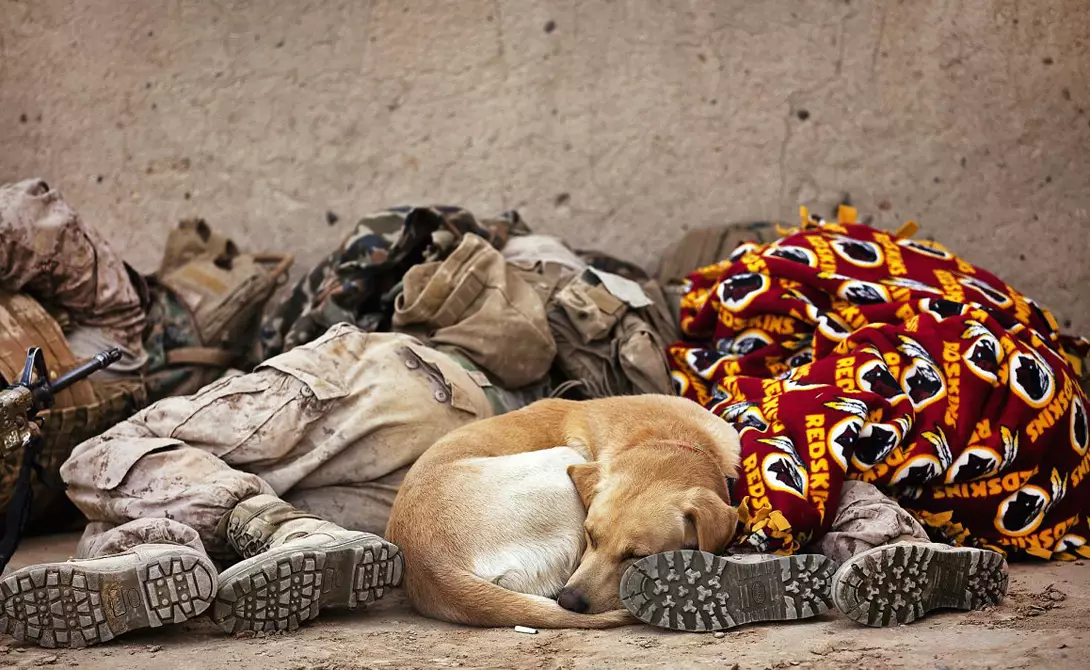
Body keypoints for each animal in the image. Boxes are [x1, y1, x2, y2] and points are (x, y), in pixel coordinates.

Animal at [383, 392, 741, 627]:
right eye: (590, 535)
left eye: (636, 556)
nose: (568, 602)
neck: (666, 438)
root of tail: (430, 564)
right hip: (561, 458)